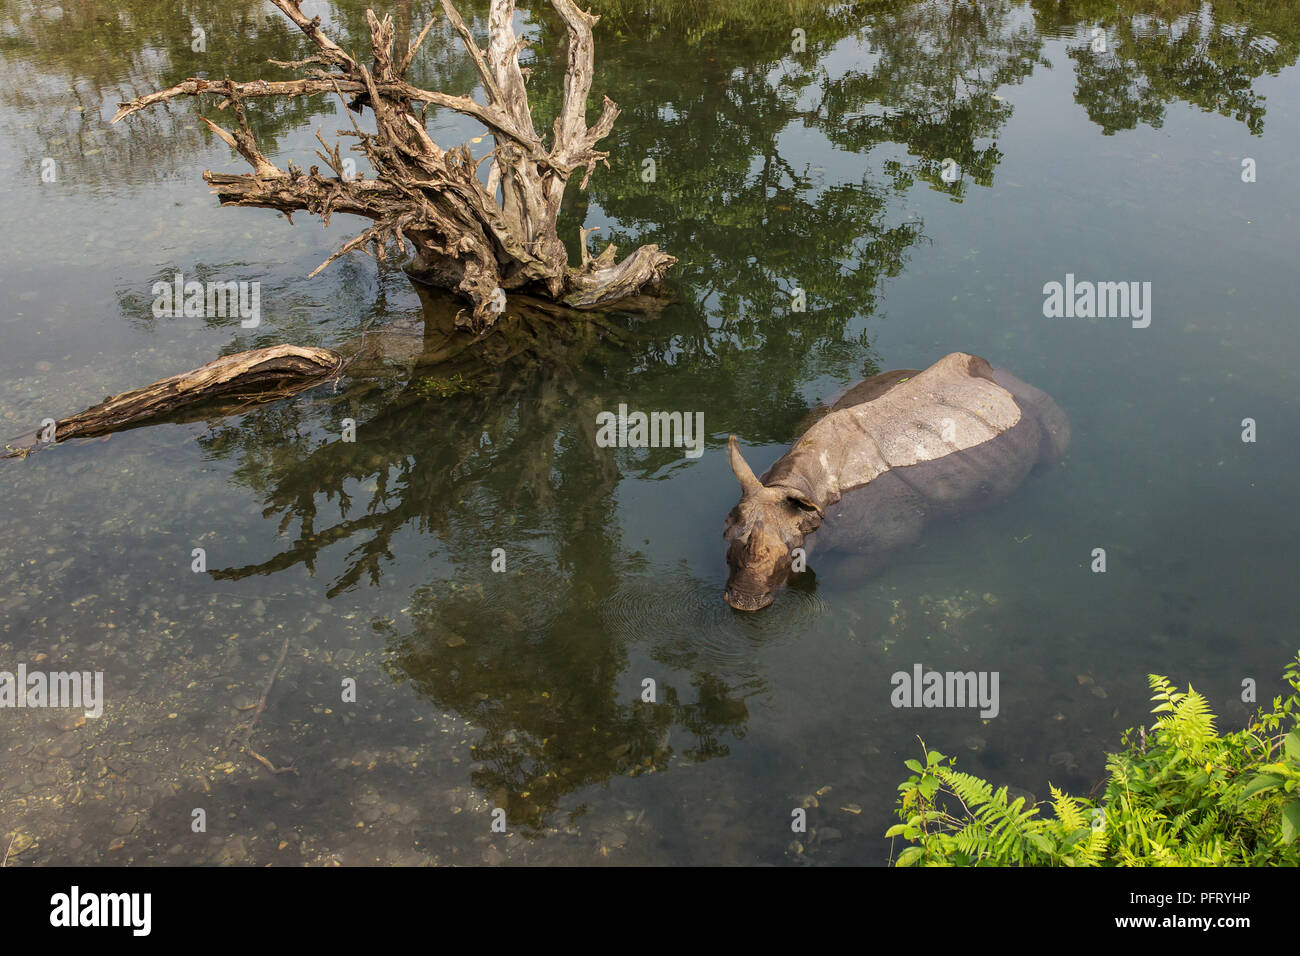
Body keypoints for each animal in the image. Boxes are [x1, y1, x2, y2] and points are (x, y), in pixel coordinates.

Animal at [723, 352, 1070, 610]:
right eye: (726, 541)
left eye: (793, 555)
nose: (743, 603)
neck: (799, 487)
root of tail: (998, 375)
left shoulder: (893, 532)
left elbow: (851, 574)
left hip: (1027, 403)